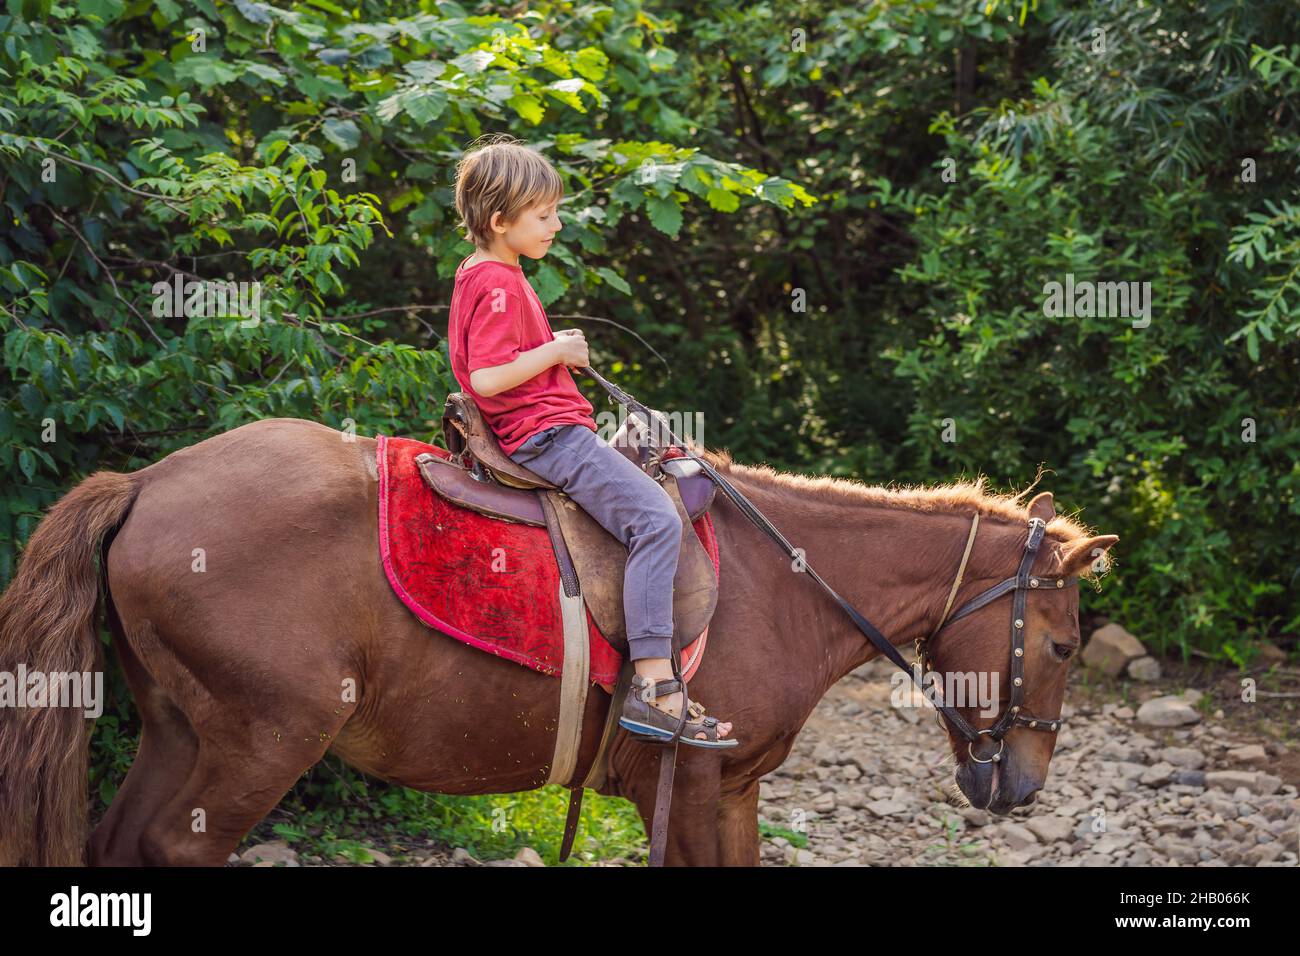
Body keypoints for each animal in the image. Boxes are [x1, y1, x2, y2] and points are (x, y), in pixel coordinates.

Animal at [0, 417, 1117, 866]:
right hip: (259, 743)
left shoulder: (733, 791)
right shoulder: (688, 788)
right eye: (1065, 647)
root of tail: (147, 482)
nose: (1020, 785)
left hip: (177, 730)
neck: (787, 582)